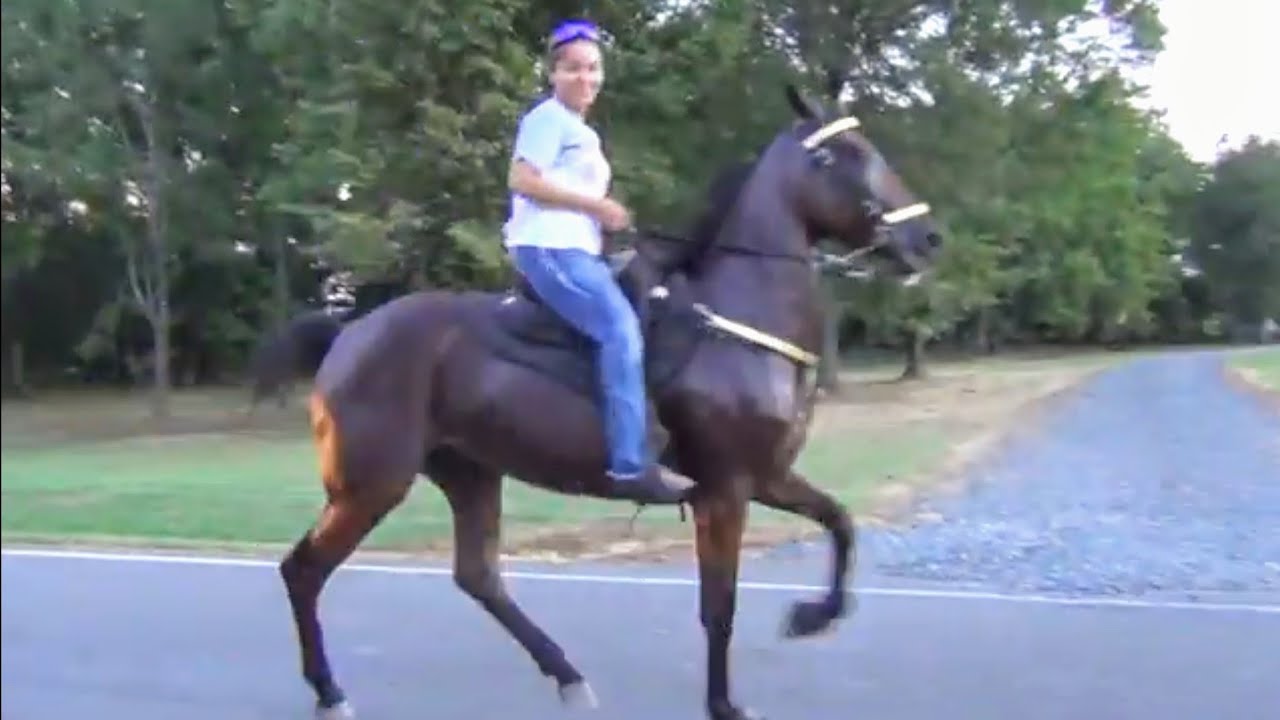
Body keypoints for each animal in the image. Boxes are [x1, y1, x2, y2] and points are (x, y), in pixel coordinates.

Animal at [247, 83, 943, 720]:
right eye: (842, 154)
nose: (927, 238)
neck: (736, 318)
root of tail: (347, 335)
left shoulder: (768, 475)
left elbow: (841, 523)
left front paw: (812, 616)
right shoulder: (726, 487)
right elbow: (719, 606)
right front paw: (724, 704)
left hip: (469, 472)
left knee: (478, 576)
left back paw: (567, 675)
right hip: (370, 484)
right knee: (303, 571)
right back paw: (331, 692)